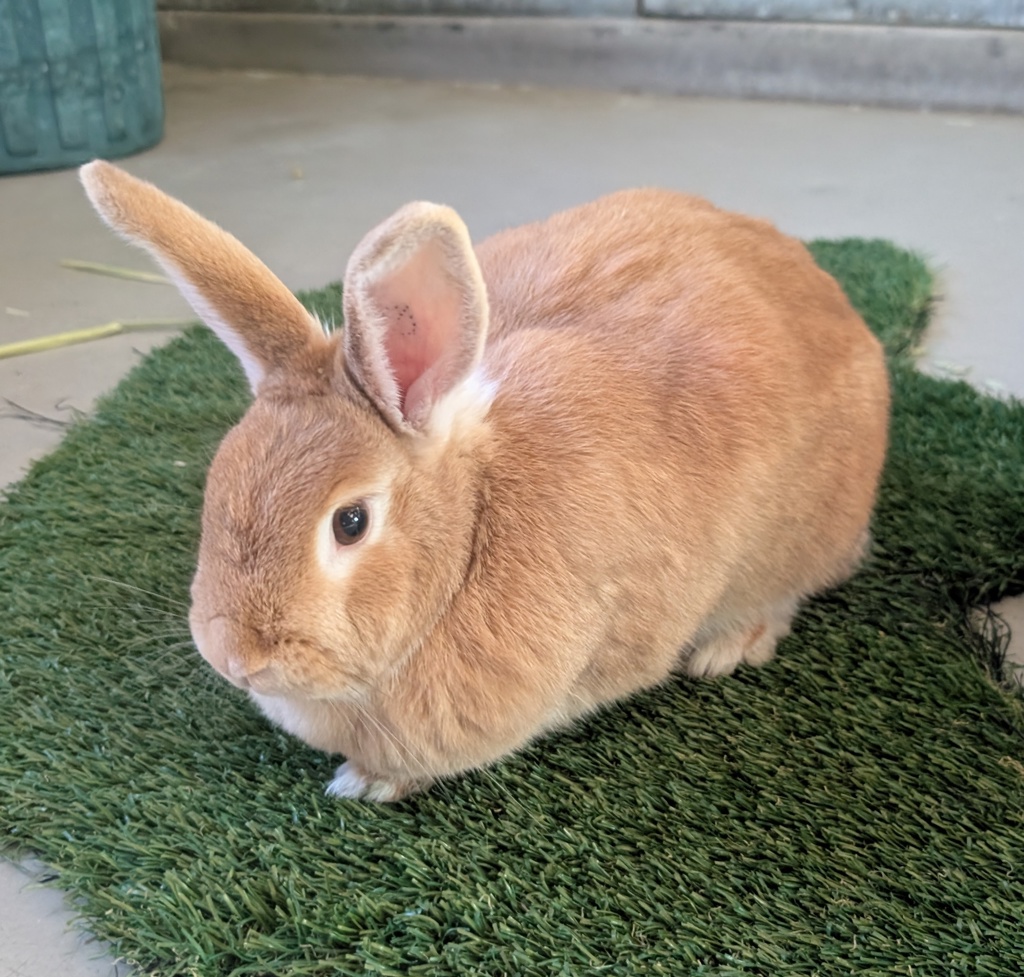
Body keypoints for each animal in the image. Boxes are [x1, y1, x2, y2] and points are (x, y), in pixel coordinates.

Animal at [80, 160, 890, 803]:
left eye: (351, 521)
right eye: (219, 480)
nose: (236, 659)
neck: (472, 528)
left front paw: (363, 783)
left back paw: (727, 647)